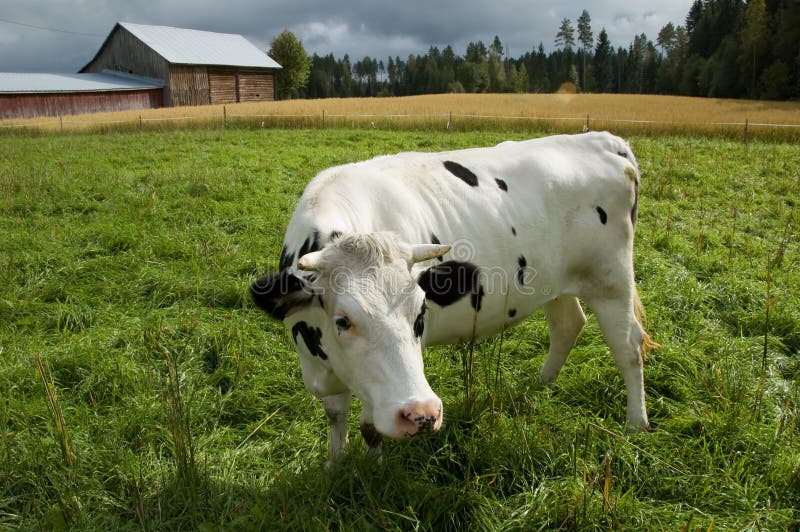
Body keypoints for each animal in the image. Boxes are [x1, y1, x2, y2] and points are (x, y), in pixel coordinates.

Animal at [250, 131, 656, 466]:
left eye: (420, 316)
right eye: (342, 321)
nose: (422, 414)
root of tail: (603, 139)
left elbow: (369, 425)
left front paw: (373, 470)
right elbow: (335, 416)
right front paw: (335, 465)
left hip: (611, 280)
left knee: (628, 346)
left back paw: (636, 423)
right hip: (555, 282)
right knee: (568, 324)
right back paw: (541, 385)